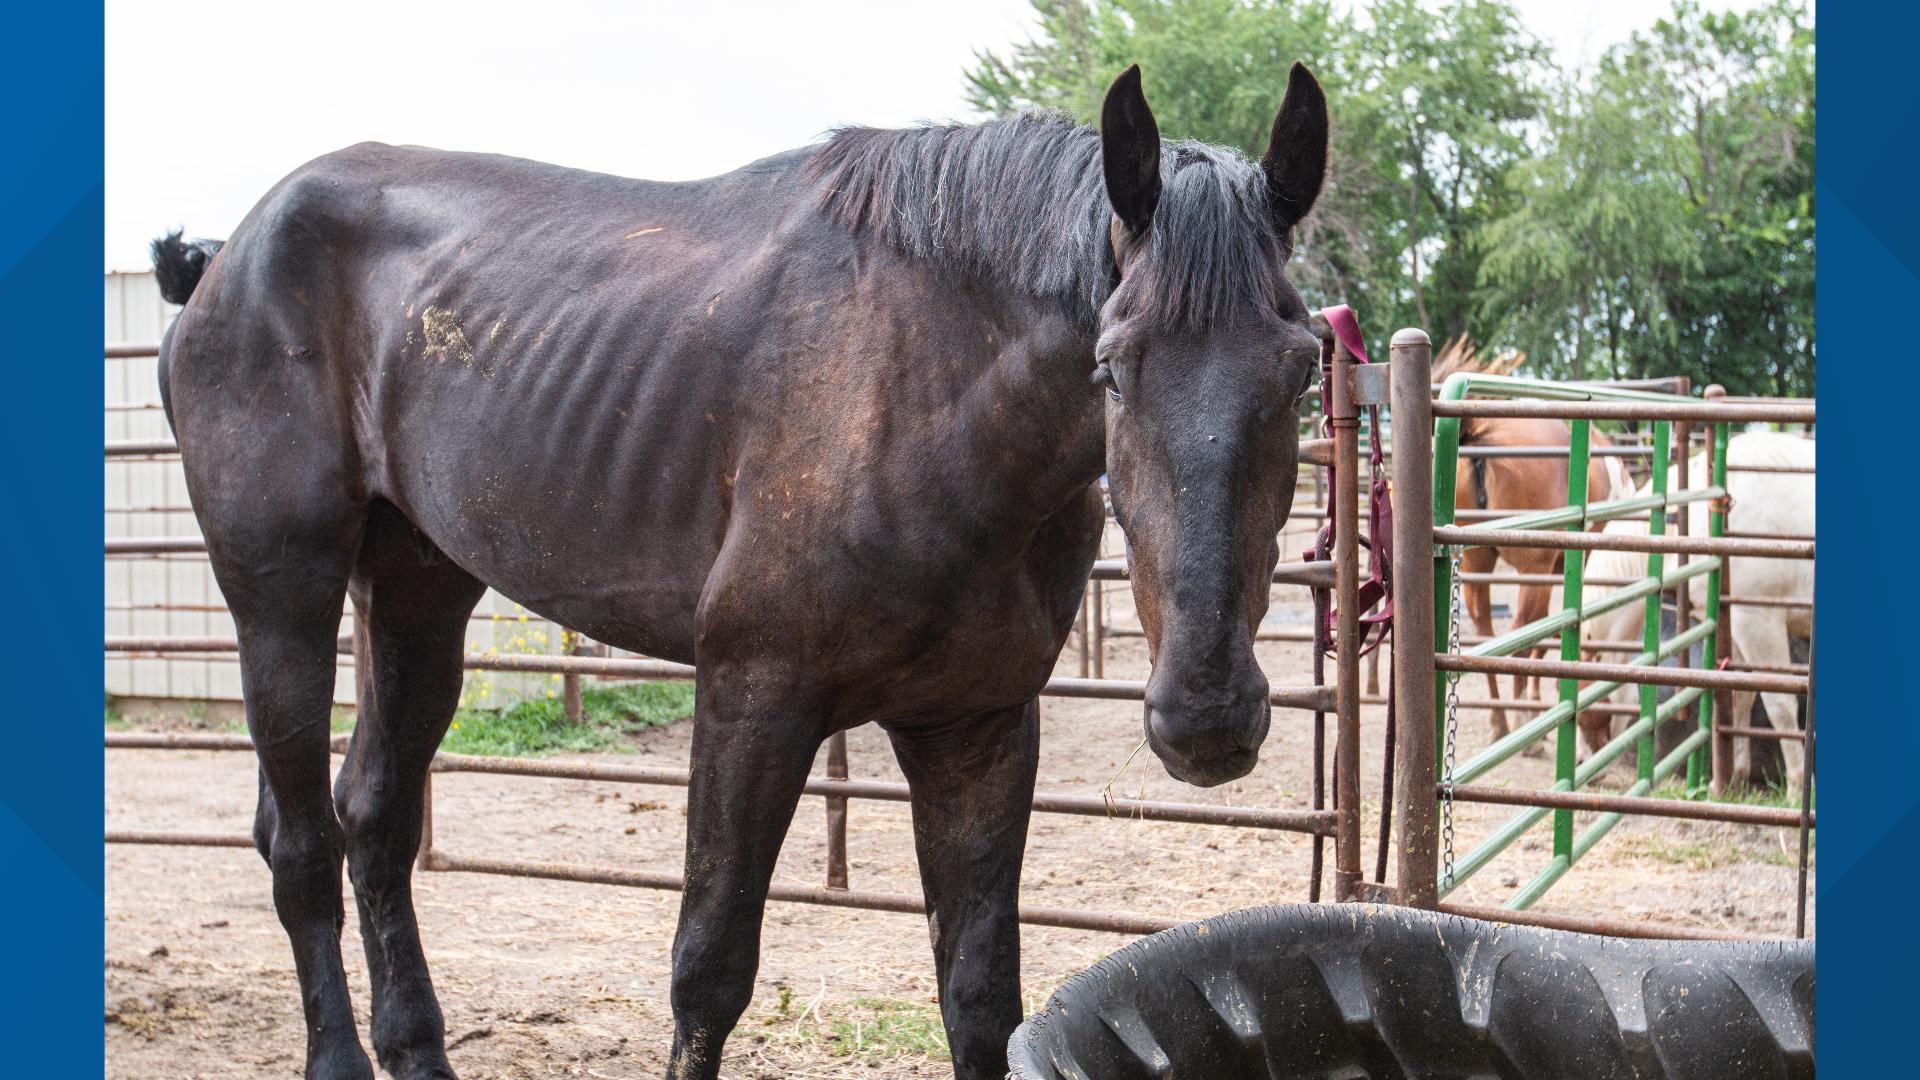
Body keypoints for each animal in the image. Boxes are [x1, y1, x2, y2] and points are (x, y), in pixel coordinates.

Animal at [150, 63, 1330, 1080]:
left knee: (378, 819)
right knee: (301, 844)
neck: (919, 390)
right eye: (1113, 368)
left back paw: (418, 1050)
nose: (1207, 718)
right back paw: (340, 1058)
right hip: (282, 597)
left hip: (417, 592)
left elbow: (981, 996)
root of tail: (229, 256)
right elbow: (708, 974)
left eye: (1303, 368)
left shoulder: (977, 724)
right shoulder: (754, 697)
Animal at [1454, 416, 1632, 739]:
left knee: (1486, 632)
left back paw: (1500, 720)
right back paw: (1522, 721)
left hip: (1476, 563)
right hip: (1533, 567)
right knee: (1521, 630)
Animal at [1576, 432, 1814, 791]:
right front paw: (1734, 779)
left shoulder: (1760, 619)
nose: (1579, 763)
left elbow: (1779, 703)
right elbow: (1740, 694)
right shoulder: (1735, 623)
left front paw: (1797, 785)